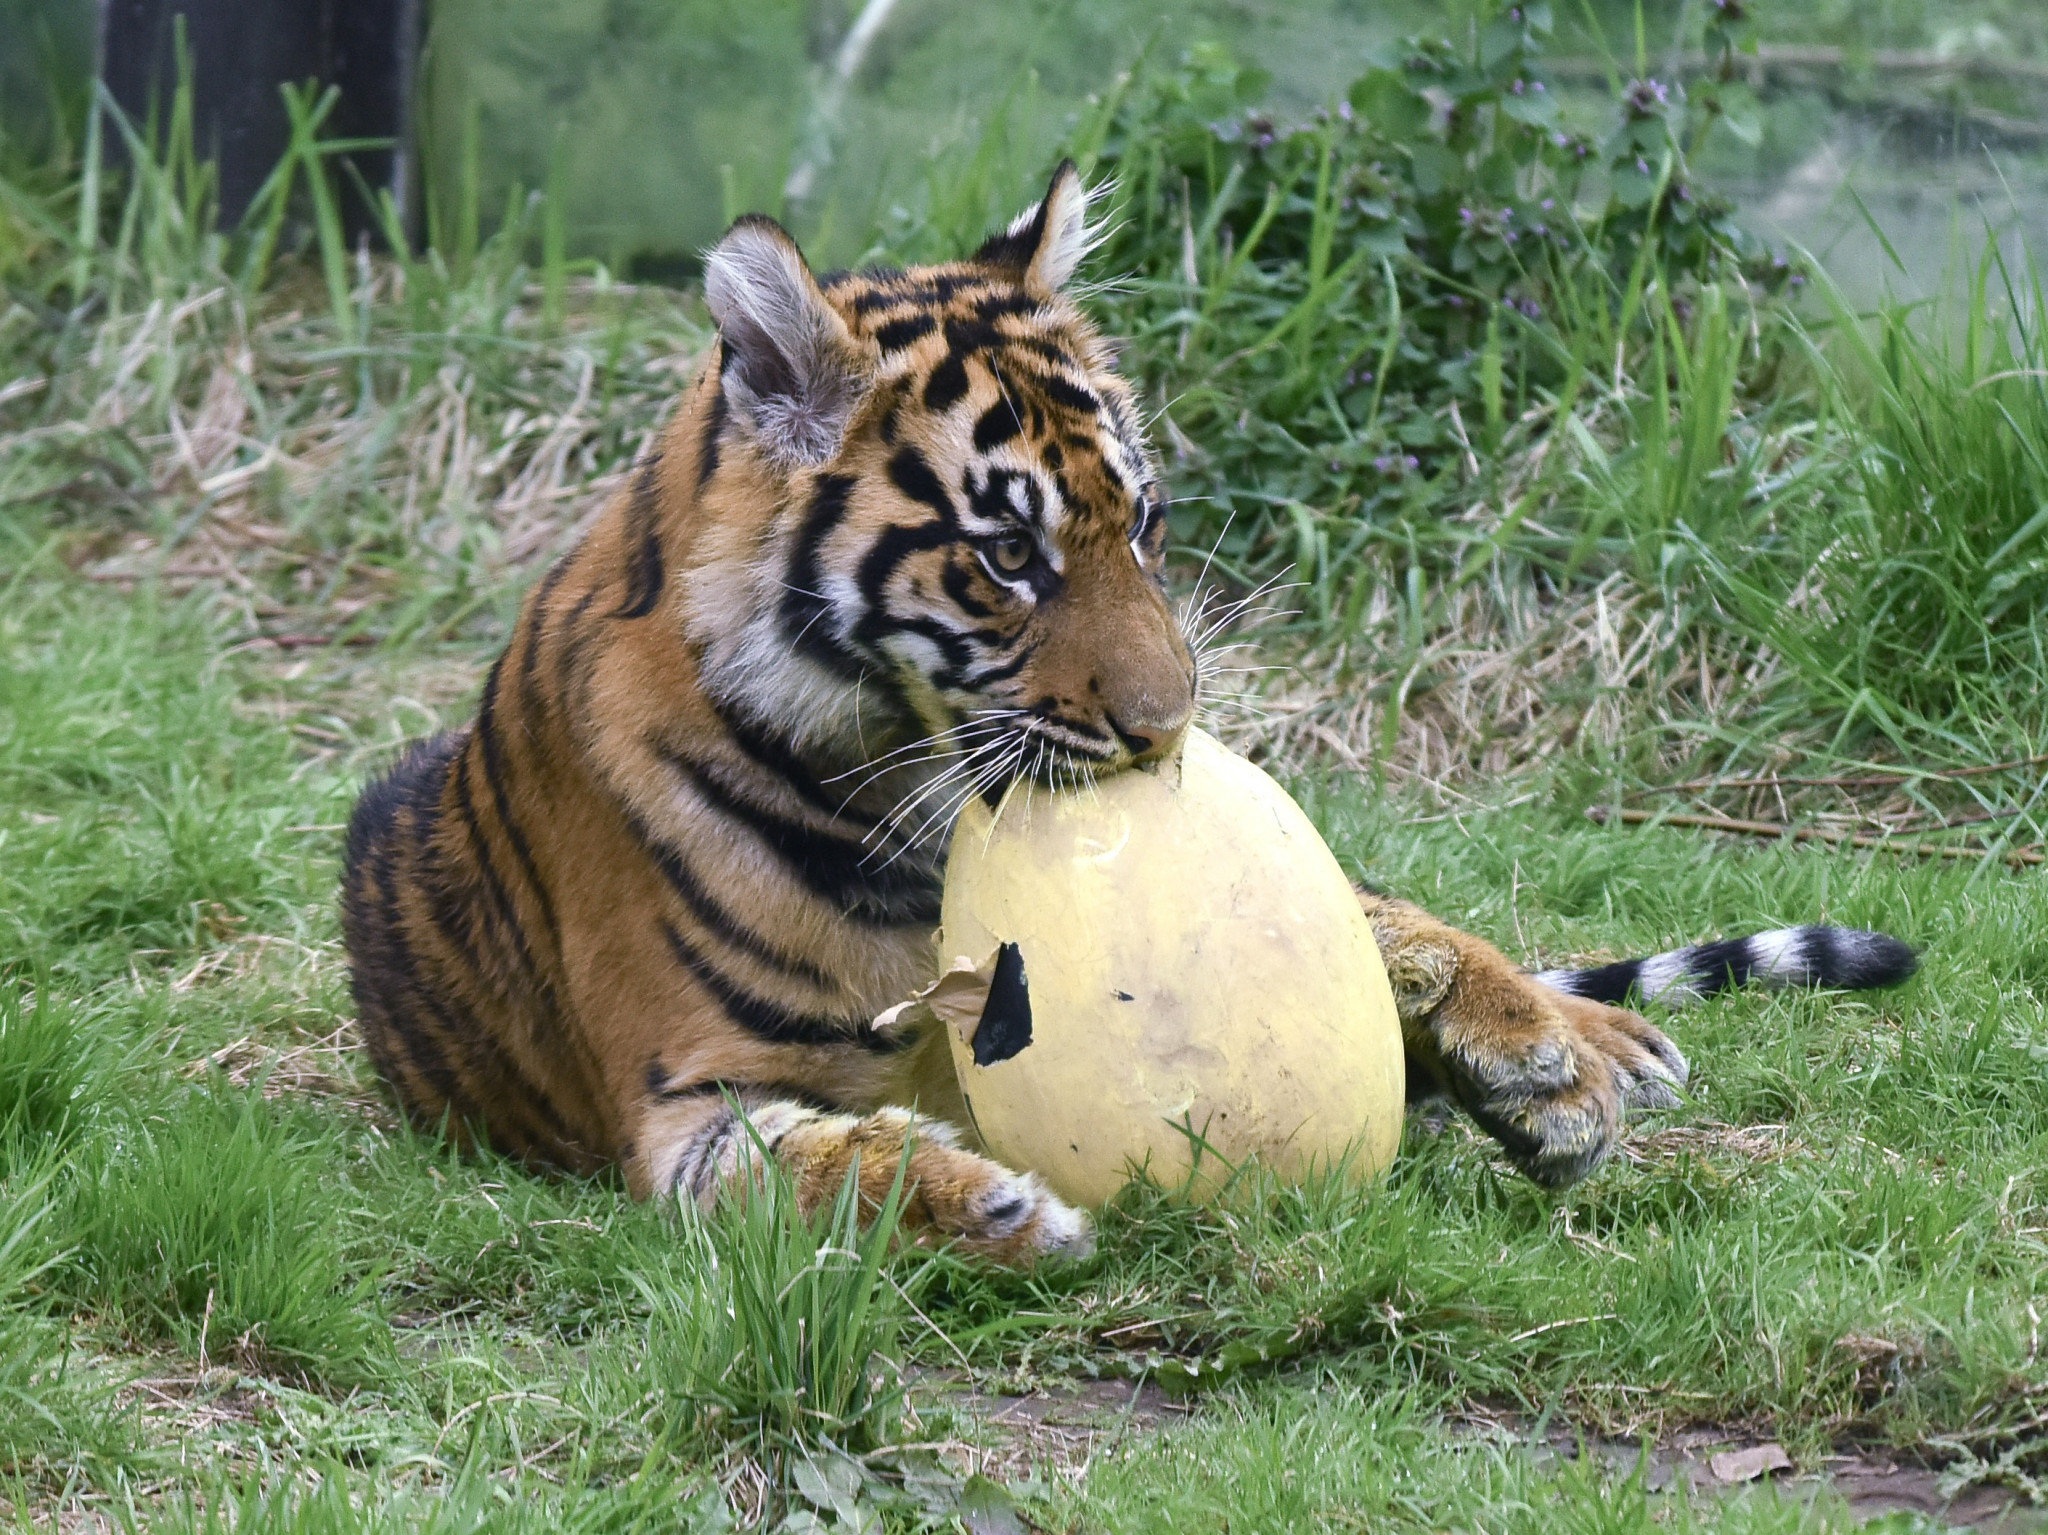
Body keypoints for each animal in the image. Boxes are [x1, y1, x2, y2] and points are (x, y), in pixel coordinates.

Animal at [341, 163, 1916, 1265]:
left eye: (1142, 521)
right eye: (1004, 553)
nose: (1168, 728)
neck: (898, 796)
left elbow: (1383, 932)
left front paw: (1537, 1056)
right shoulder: (683, 1096)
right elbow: (812, 1155)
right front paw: (977, 1204)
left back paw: (1576, 1044)